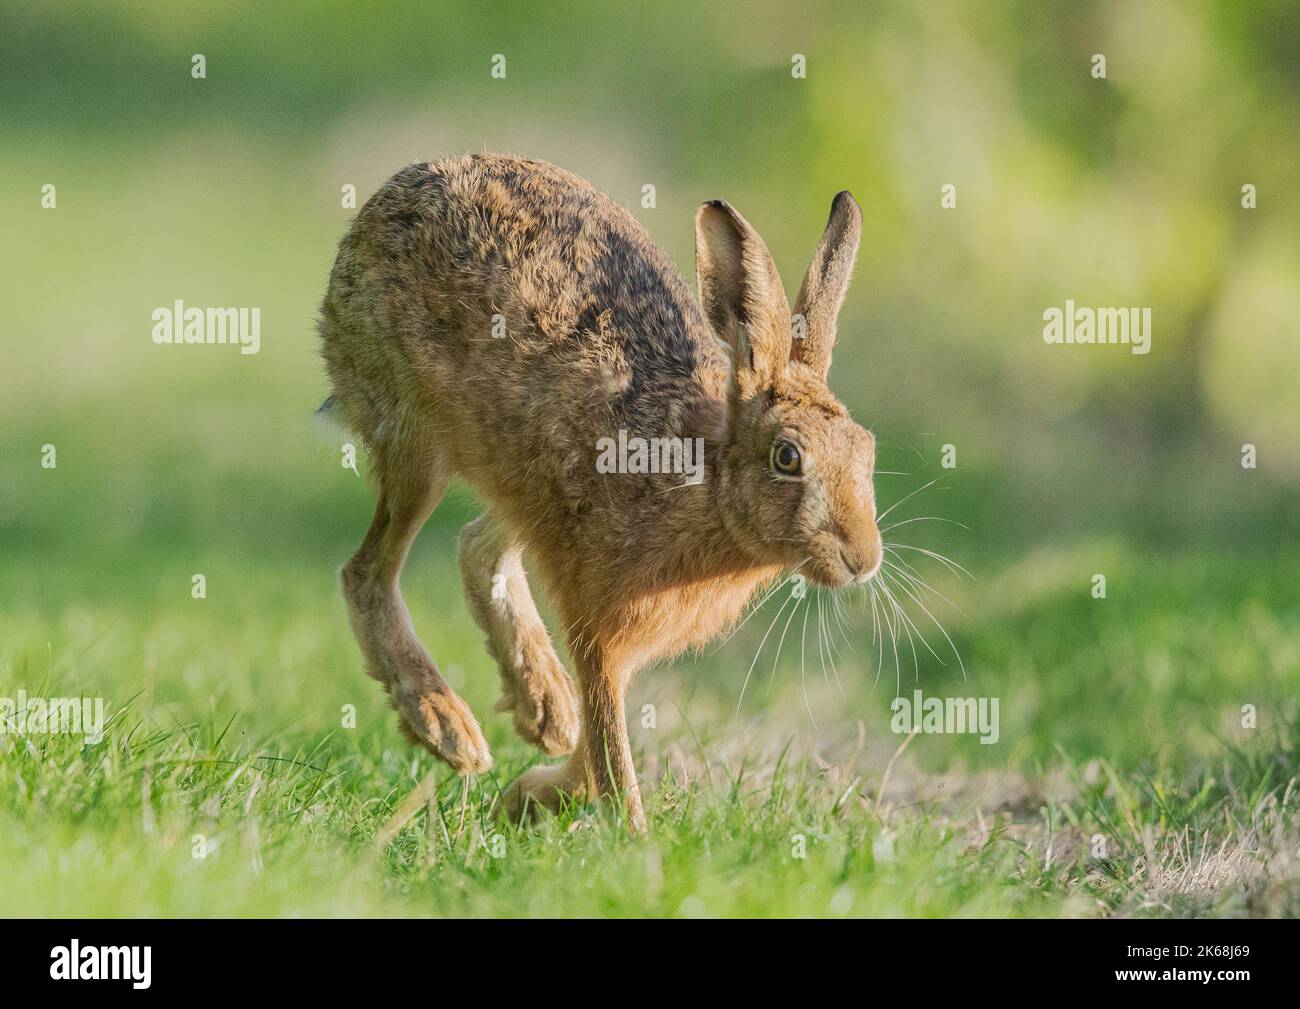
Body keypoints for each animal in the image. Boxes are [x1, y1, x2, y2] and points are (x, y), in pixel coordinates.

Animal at [319, 153, 880, 830]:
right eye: (788, 457)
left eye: (868, 453)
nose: (863, 560)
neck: (706, 481)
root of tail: (383, 202)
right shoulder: (598, 622)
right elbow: (610, 748)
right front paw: (633, 837)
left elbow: (594, 752)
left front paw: (527, 796)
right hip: (417, 442)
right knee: (367, 570)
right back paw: (447, 726)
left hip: (519, 482)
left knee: (478, 548)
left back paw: (545, 709)